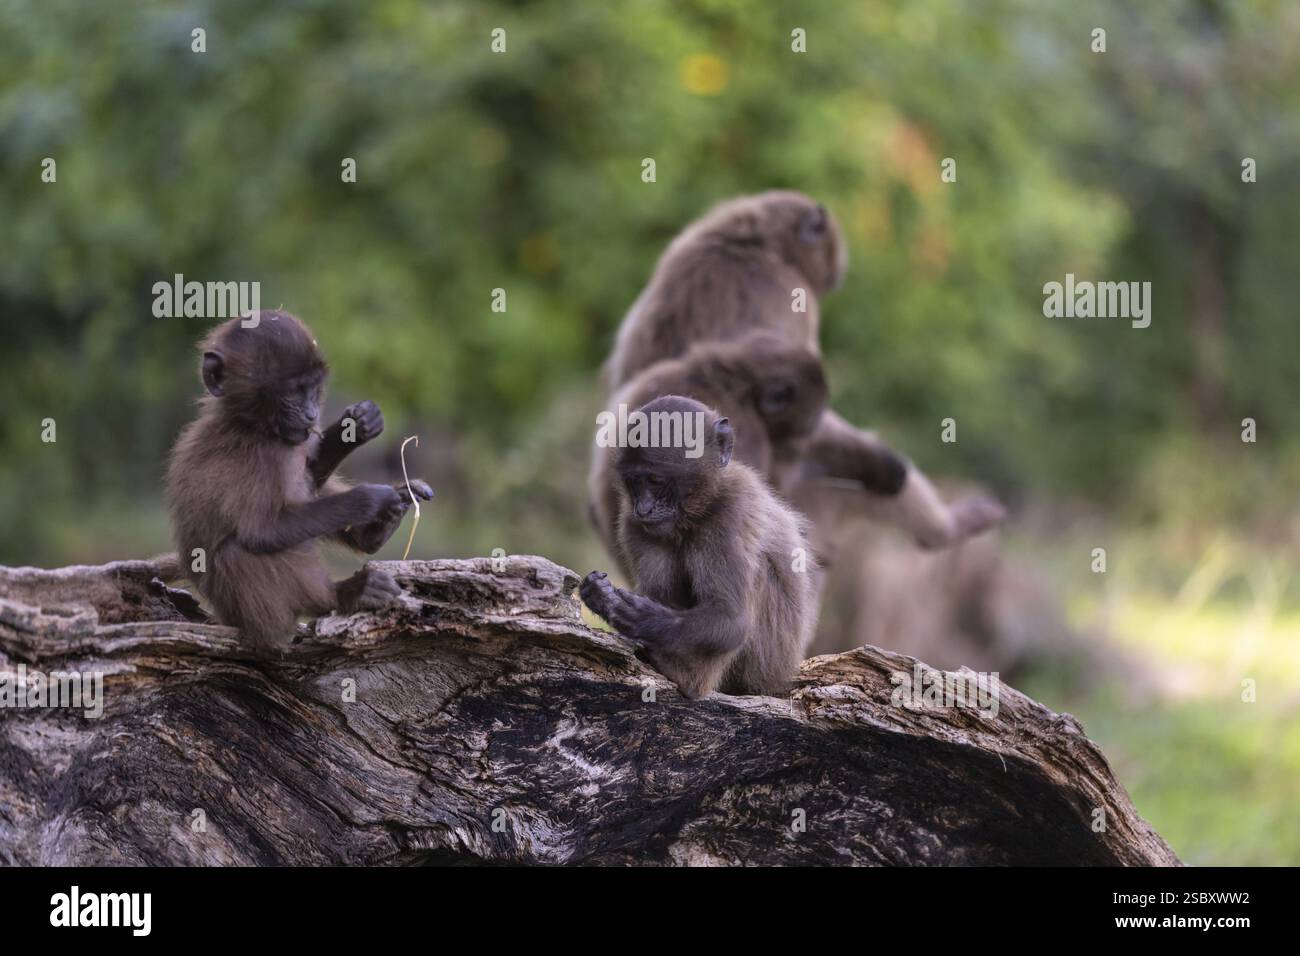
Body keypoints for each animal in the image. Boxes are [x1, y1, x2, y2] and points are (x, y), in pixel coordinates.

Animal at [165, 310, 433, 652]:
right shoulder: (256, 457)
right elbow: (261, 531)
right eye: (294, 391)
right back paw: (343, 595)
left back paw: (375, 532)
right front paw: (371, 499)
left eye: (313, 389)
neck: (255, 427)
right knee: (236, 552)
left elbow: (308, 481)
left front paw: (355, 426)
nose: (311, 414)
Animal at [580, 396, 818, 699]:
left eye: (655, 481)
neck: (700, 509)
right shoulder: (632, 524)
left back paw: (685, 676)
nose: (643, 509)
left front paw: (644, 619)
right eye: (634, 482)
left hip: (765, 668)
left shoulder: (732, 512)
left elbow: (731, 619)